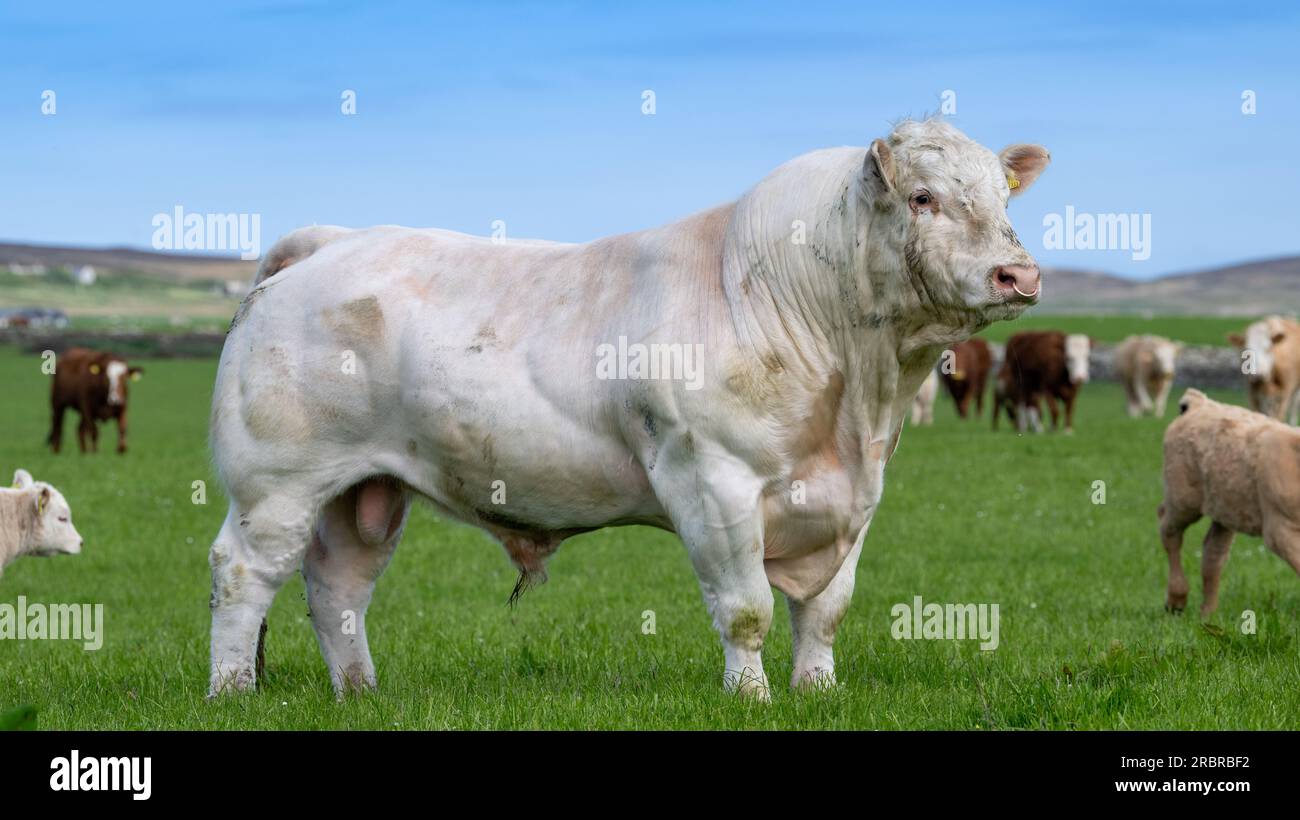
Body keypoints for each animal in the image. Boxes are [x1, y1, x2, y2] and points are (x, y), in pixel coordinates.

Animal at [206, 118, 1050, 699]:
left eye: (1002, 196)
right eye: (923, 197)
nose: (1018, 274)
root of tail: (331, 240)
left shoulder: (856, 499)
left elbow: (825, 610)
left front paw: (816, 691)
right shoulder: (711, 481)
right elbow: (747, 610)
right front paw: (751, 696)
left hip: (364, 489)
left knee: (338, 584)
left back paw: (359, 691)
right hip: (276, 483)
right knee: (244, 571)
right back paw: (233, 691)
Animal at [1158, 389, 1300, 617]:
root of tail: (1199, 403)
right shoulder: (1280, 528)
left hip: (1226, 508)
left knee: (1213, 552)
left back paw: (1208, 613)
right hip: (1182, 498)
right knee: (1168, 529)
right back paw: (1176, 599)